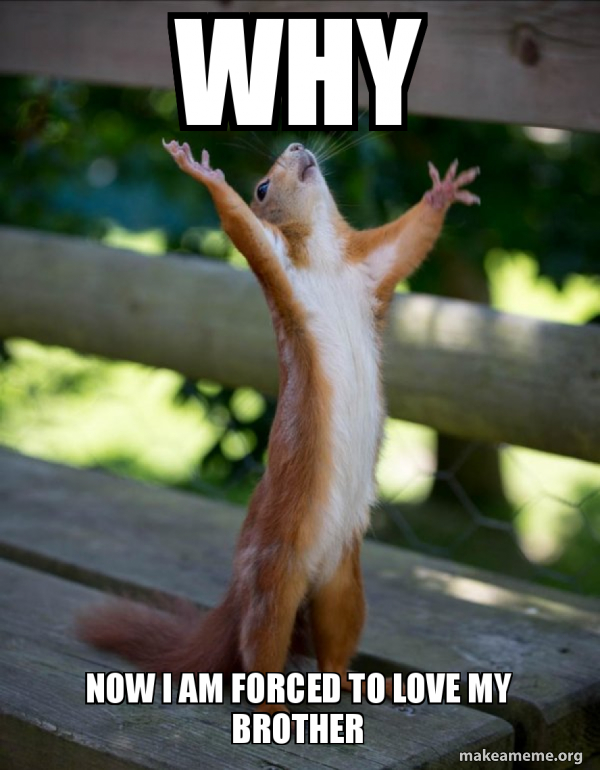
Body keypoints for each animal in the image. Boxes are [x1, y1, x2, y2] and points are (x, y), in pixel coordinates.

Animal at [78, 138, 479, 714]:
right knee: (260, 649)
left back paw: (352, 681)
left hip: (343, 584)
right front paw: (204, 173)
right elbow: (240, 226)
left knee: (335, 643)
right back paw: (276, 707)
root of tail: (241, 590)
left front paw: (443, 191)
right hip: (274, 580)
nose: (295, 145)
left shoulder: (372, 267)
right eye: (262, 187)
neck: (327, 259)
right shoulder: (277, 264)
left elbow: (410, 240)